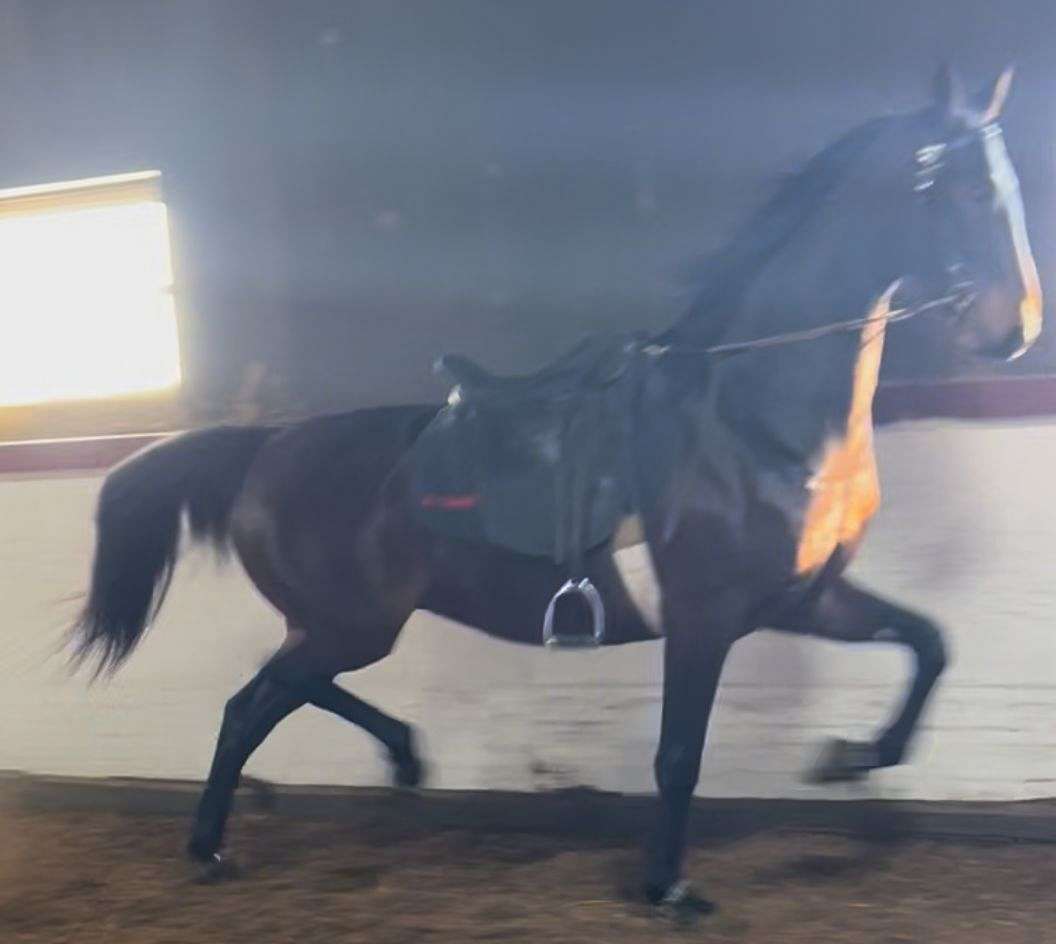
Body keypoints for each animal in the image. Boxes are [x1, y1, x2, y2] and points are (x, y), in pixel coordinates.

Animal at [71, 66, 1042, 915]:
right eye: (966, 192)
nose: (1016, 328)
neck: (753, 416)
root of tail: (267, 443)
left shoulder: (804, 598)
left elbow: (930, 644)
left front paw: (851, 757)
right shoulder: (707, 616)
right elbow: (679, 754)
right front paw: (668, 888)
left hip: (343, 626)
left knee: (285, 693)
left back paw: (396, 762)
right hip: (352, 626)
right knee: (251, 708)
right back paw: (212, 846)